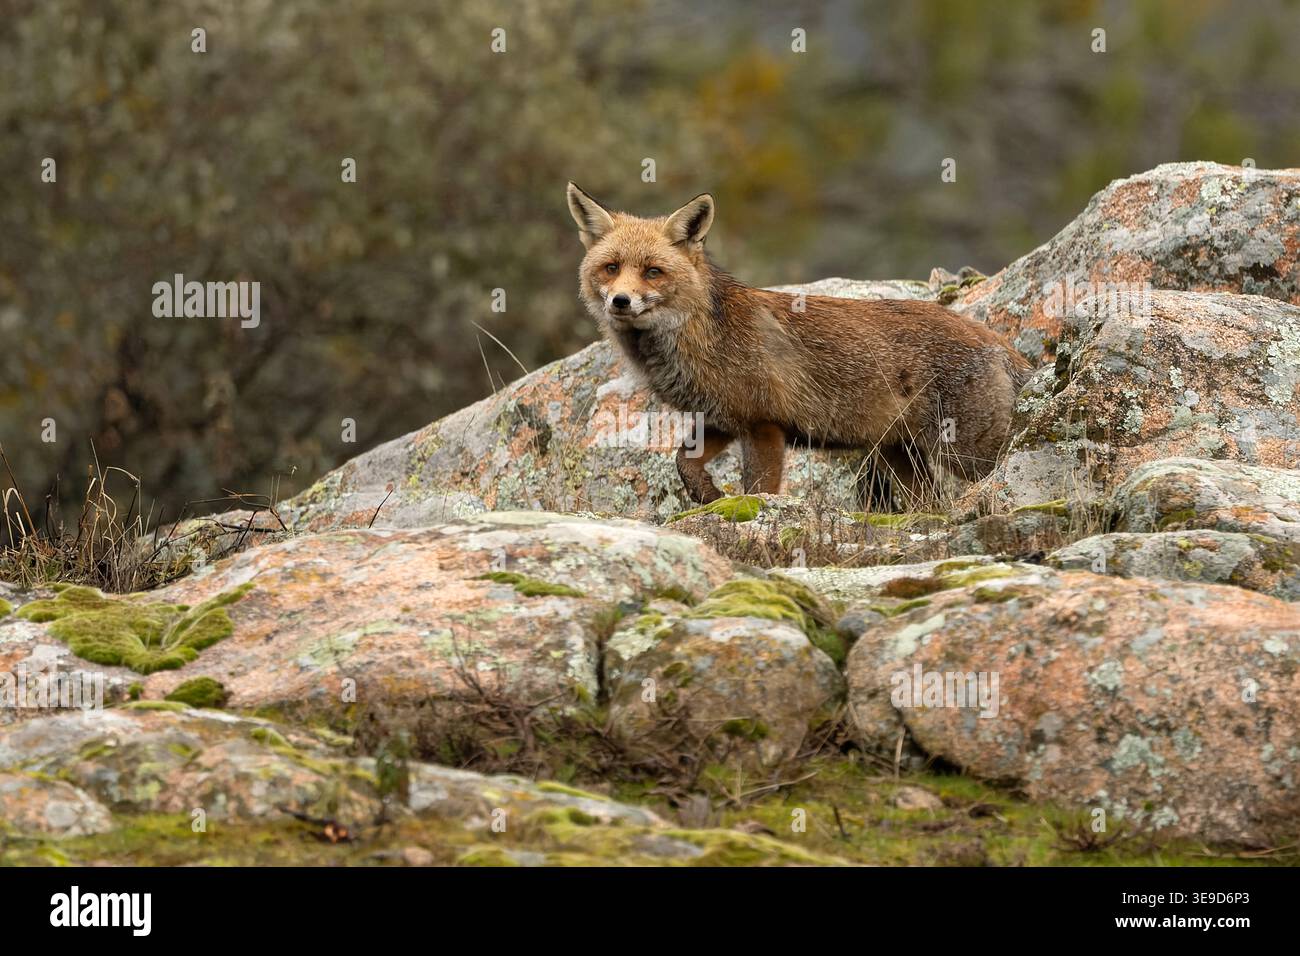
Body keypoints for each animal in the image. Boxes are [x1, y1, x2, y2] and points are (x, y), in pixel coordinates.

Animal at [566, 182, 1034, 510]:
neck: (699, 339)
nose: (620, 301)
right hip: (900, 455)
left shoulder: (763, 425)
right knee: (932, 506)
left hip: (967, 452)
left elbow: (758, 489)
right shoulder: (722, 417)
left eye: (653, 272)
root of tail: (996, 339)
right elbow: (683, 462)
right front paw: (707, 496)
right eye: (611, 268)